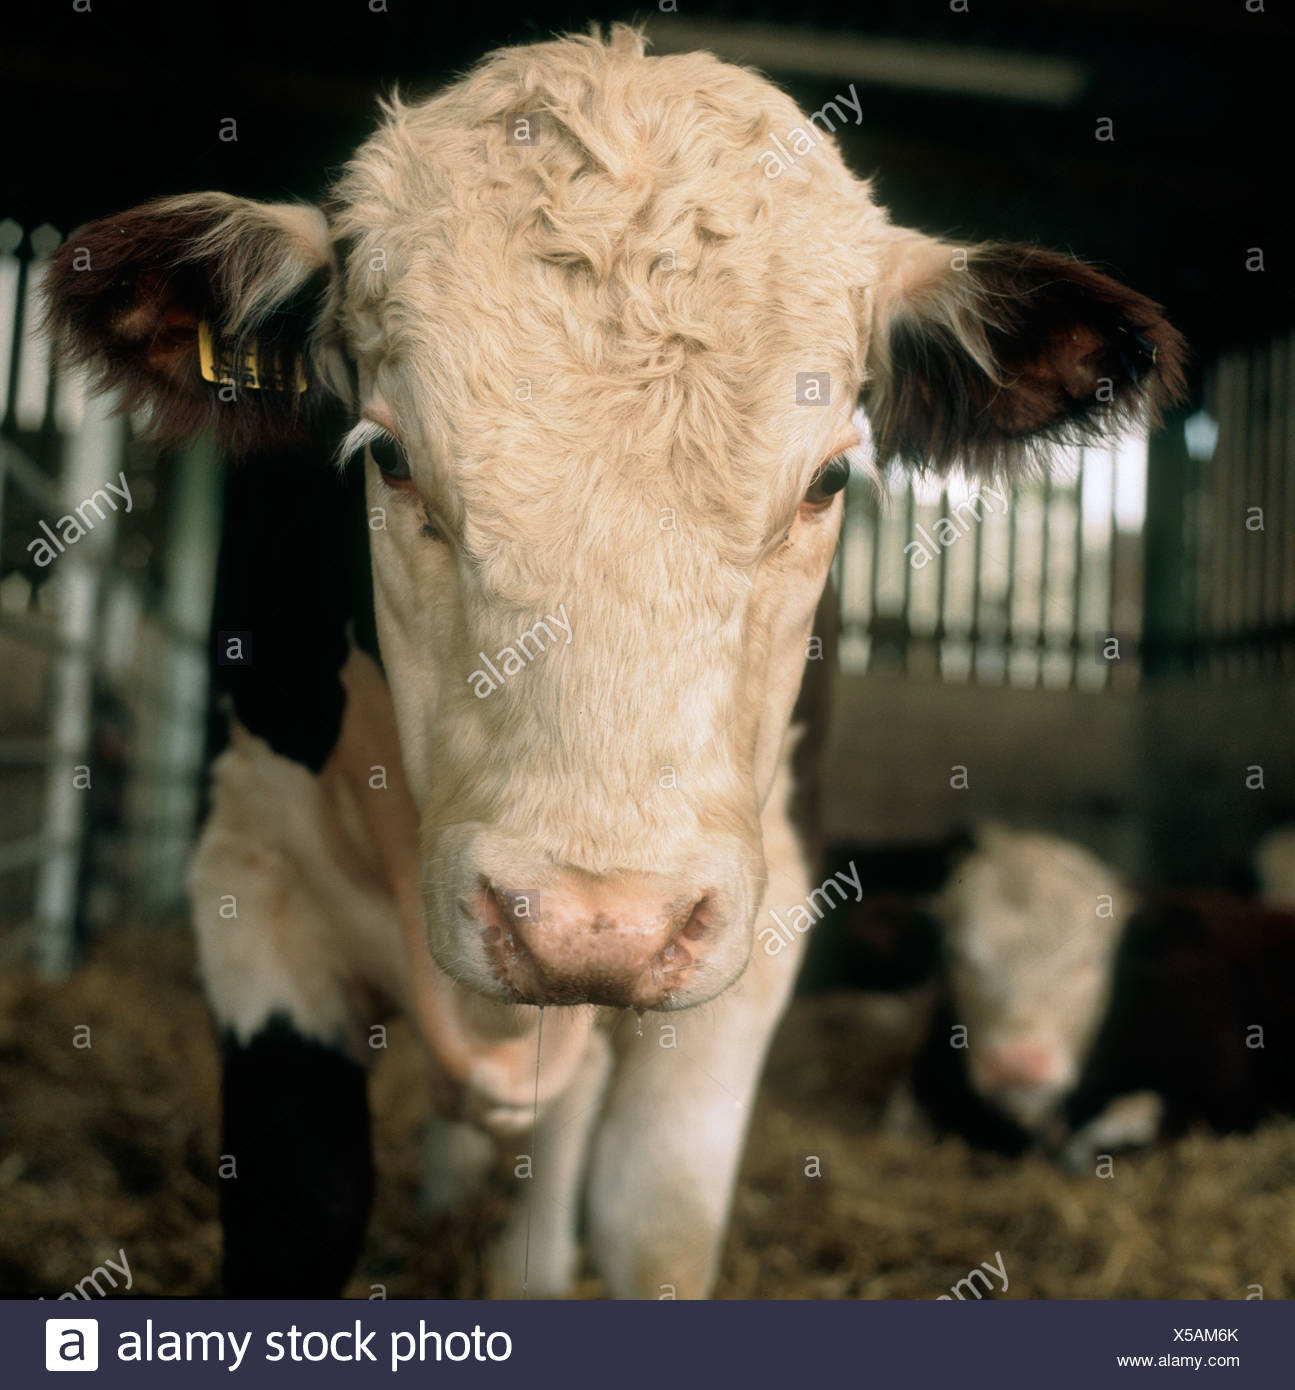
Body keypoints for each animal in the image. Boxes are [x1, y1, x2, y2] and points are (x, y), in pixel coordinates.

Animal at [44, 27, 1185, 1298]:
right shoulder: (251, 878)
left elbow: (654, 1219)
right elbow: (304, 1202)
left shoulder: (750, 933)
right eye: (387, 455)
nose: (594, 925)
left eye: (829, 477)